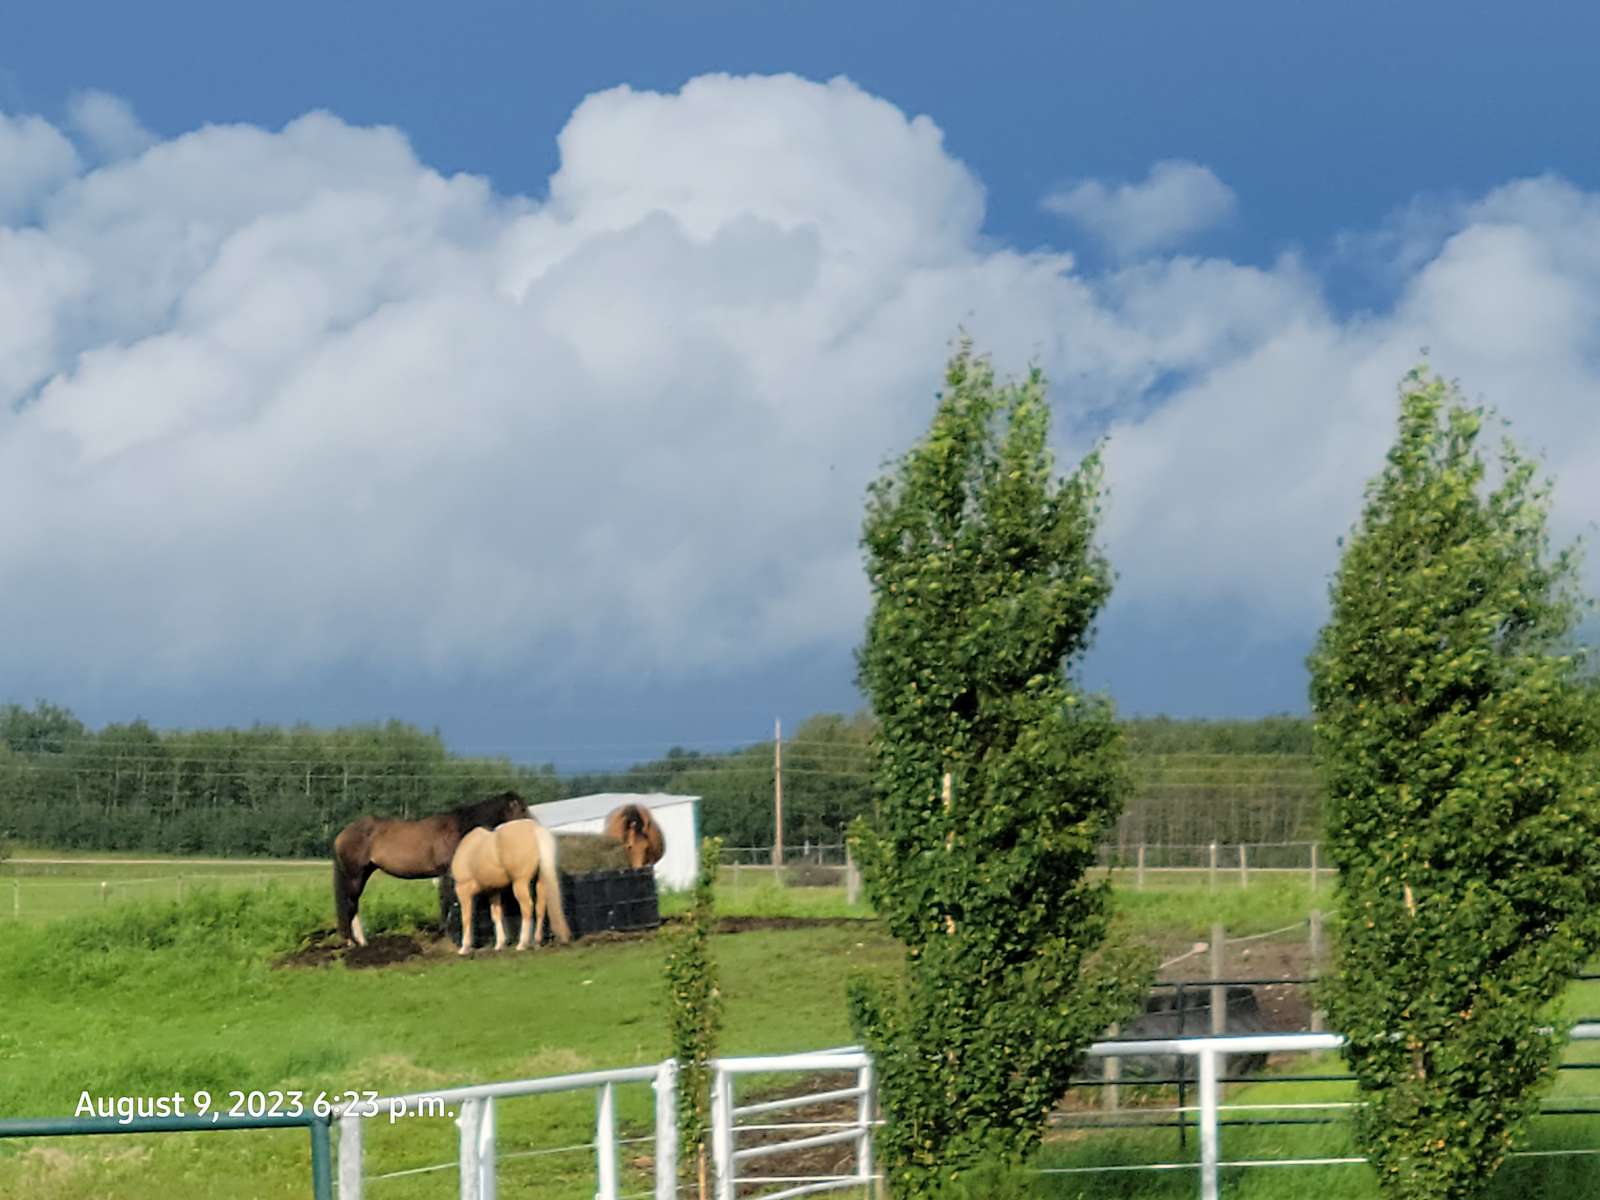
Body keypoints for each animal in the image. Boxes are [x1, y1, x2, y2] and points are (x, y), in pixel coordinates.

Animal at [331, 791, 530, 947]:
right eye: (522, 809)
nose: (531, 828)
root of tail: (343, 834)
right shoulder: (451, 874)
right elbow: (452, 902)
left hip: (363, 873)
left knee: (353, 903)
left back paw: (361, 941)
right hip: (354, 875)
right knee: (349, 903)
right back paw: (351, 941)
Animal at [450, 818, 572, 954]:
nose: (454, 942)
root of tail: (535, 830)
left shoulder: (463, 890)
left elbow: (466, 917)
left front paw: (464, 948)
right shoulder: (493, 891)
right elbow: (496, 915)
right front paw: (499, 945)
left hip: (520, 883)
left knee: (527, 907)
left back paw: (522, 944)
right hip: (541, 881)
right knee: (540, 907)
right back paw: (537, 941)